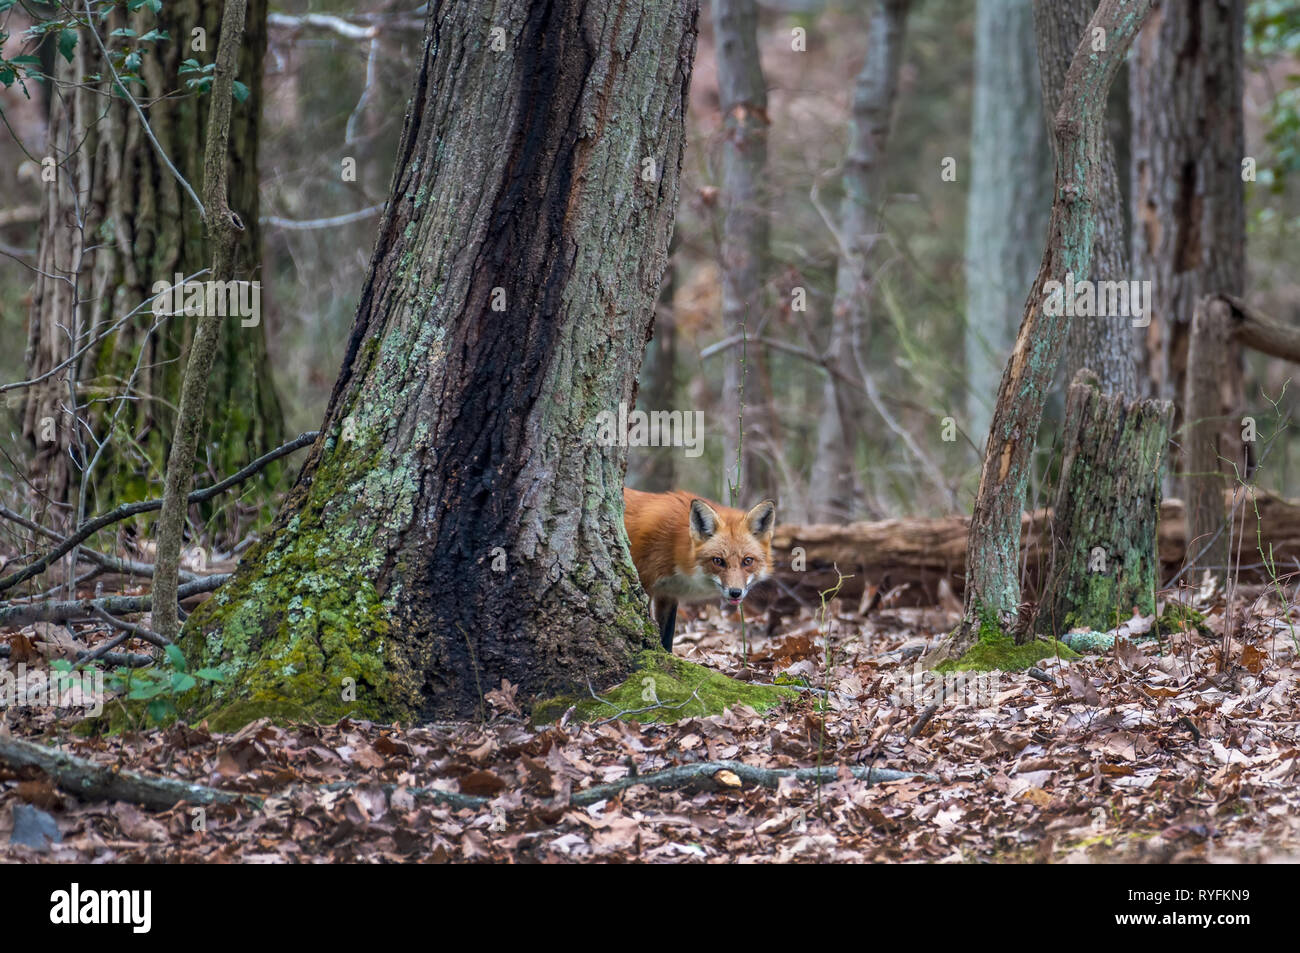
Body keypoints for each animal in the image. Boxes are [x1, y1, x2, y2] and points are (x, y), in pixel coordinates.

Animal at [622, 488, 777, 652]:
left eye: (747, 561)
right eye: (718, 561)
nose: (735, 592)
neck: (673, 547)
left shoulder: (667, 594)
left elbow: (667, 635)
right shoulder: (645, 585)